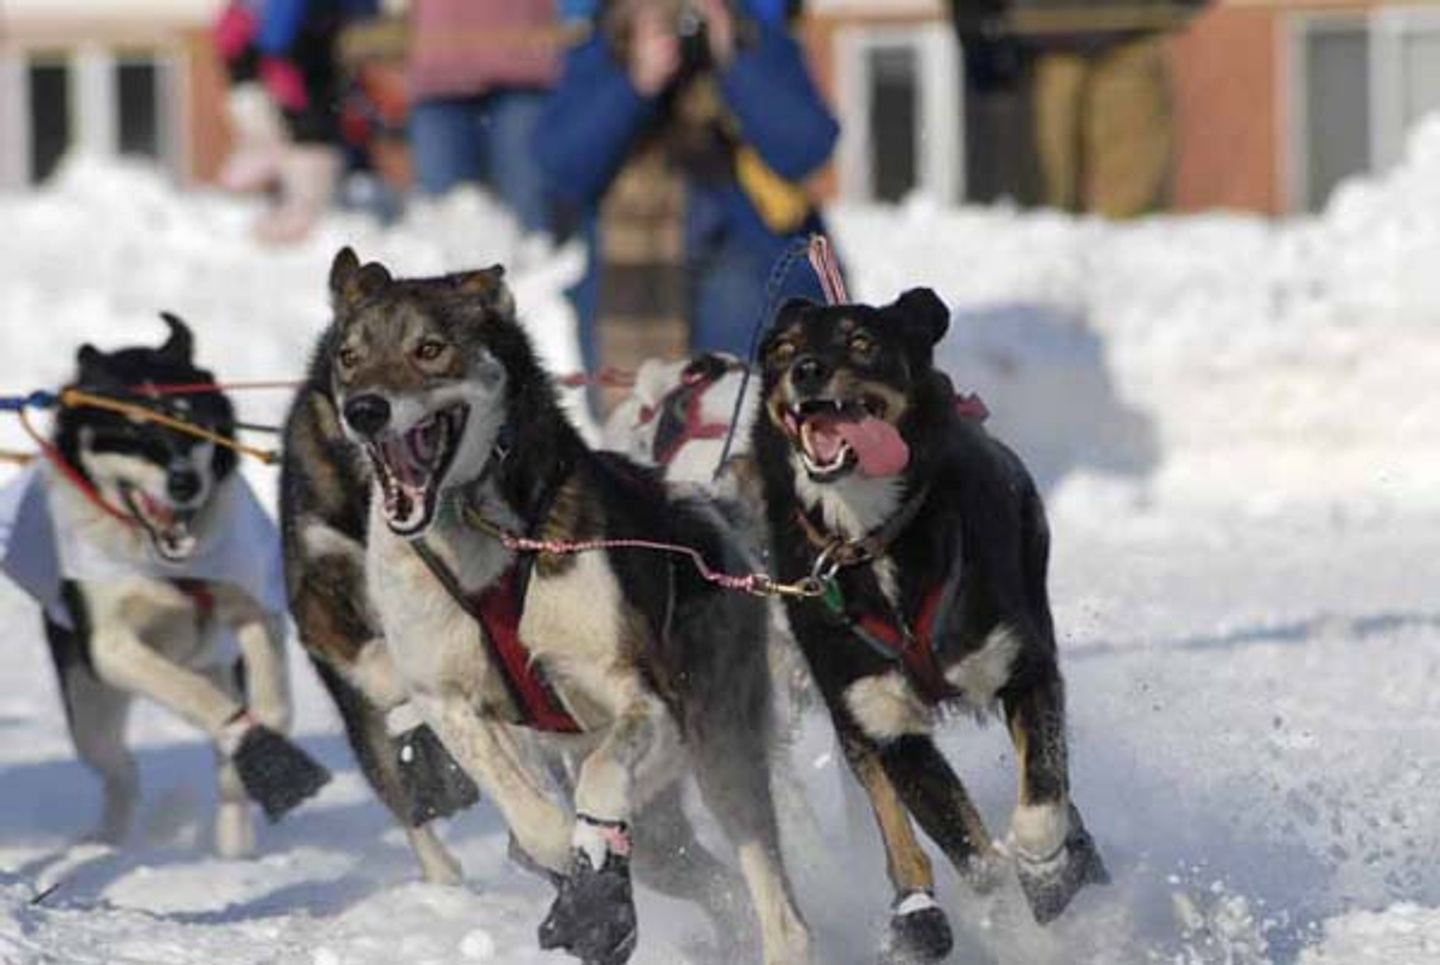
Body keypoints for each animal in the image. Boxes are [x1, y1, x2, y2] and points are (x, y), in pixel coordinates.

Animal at [306, 252, 812, 965]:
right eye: (349, 357)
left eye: (429, 348)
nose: (365, 410)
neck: (479, 540)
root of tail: (711, 510)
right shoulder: (447, 701)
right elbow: (532, 817)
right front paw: (576, 878)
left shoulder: (642, 696)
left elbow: (600, 777)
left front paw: (589, 853)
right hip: (664, 839)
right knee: (707, 880)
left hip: (723, 755)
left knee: (778, 909)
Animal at [748, 290, 1105, 962]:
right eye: (782, 348)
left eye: (862, 341)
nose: (805, 370)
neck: (871, 541)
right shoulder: (886, 725)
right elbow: (967, 848)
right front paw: (999, 916)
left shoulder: (1027, 669)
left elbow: (1039, 802)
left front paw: (1048, 872)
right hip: (852, 724)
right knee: (892, 823)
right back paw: (916, 912)